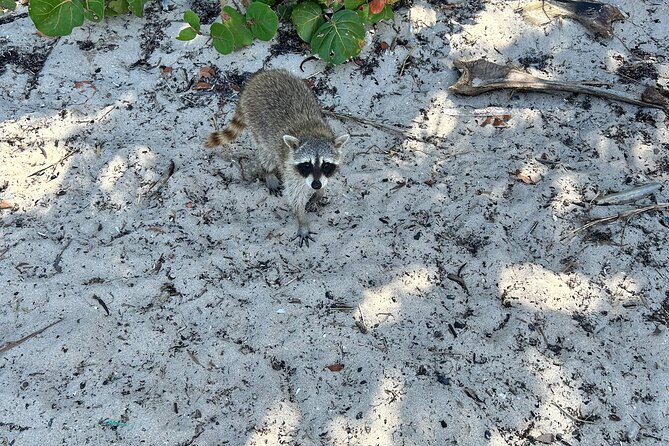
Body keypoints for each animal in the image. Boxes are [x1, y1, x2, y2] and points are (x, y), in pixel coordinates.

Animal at [205, 69, 349, 247]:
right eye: (306, 165)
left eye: (326, 165)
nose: (315, 185)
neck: (313, 134)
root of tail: (259, 77)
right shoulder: (290, 167)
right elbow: (295, 196)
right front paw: (302, 220)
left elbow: (324, 181)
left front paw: (320, 193)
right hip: (257, 123)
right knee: (266, 153)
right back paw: (269, 172)